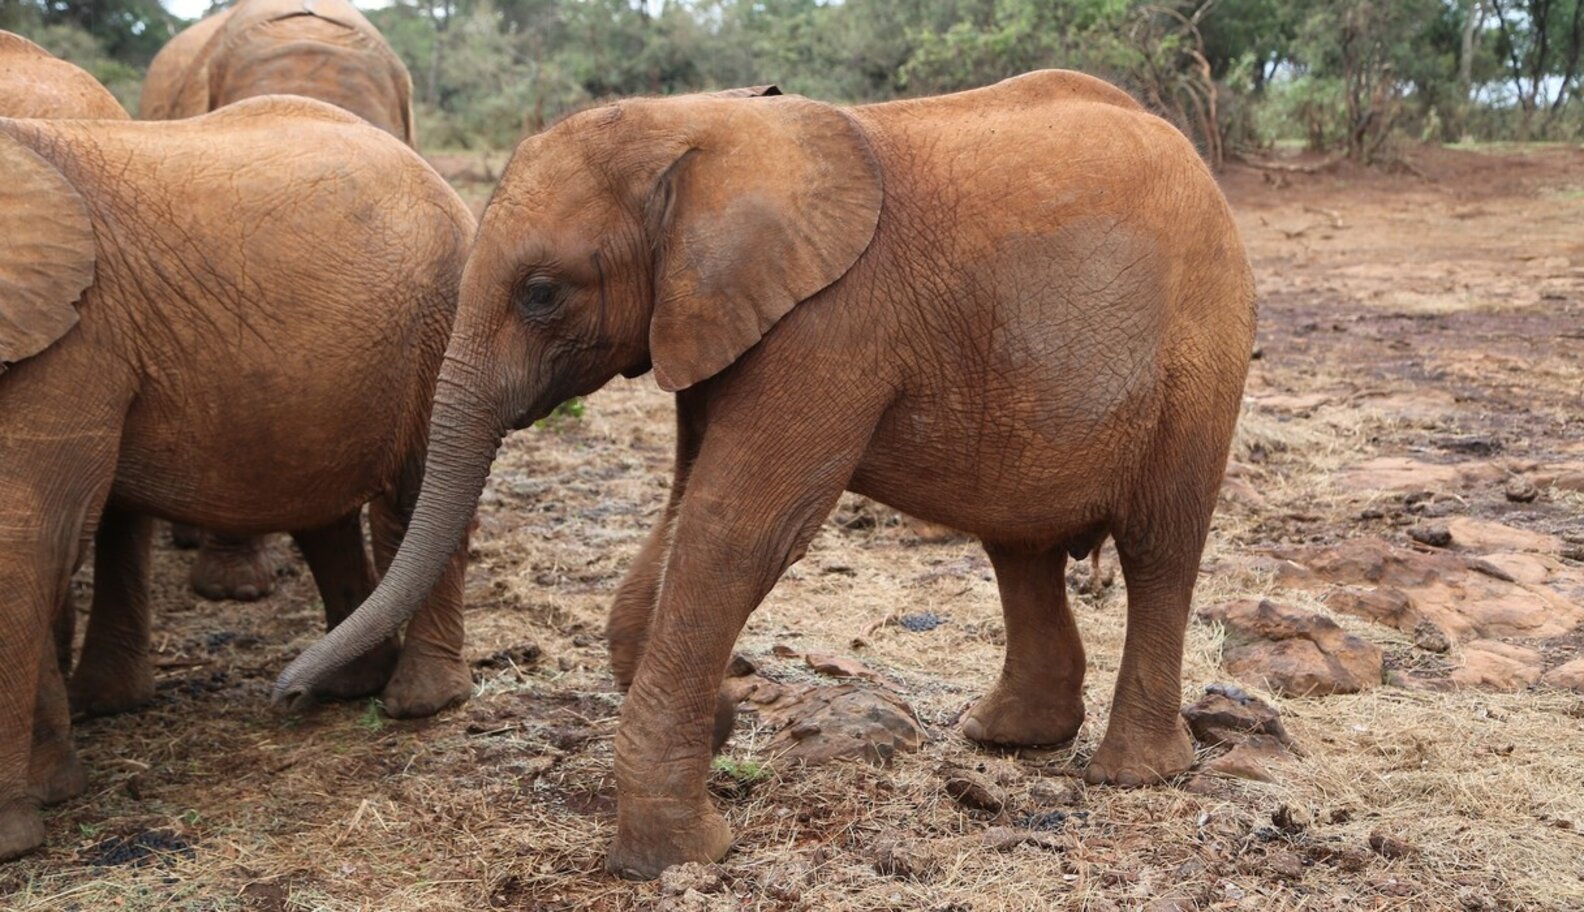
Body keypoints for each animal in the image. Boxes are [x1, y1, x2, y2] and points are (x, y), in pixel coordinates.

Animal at [0, 96, 475, 861]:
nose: (282, 700)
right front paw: (53, 793)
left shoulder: (70, 339)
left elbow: (27, 538)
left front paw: (13, 834)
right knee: (323, 513)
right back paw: (346, 686)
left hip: (438, 325)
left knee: (410, 501)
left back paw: (417, 703)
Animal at [275, 70, 1258, 877]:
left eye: (542, 293)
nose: (289, 696)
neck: (701, 127)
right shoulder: (710, 317)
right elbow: (683, 511)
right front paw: (718, 723)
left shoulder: (830, 325)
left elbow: (736, 528)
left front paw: (677, 857)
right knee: (1019, 549)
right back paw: (1004, 739)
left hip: (1203, 353)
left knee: (1159, 551)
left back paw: (1132, 775)